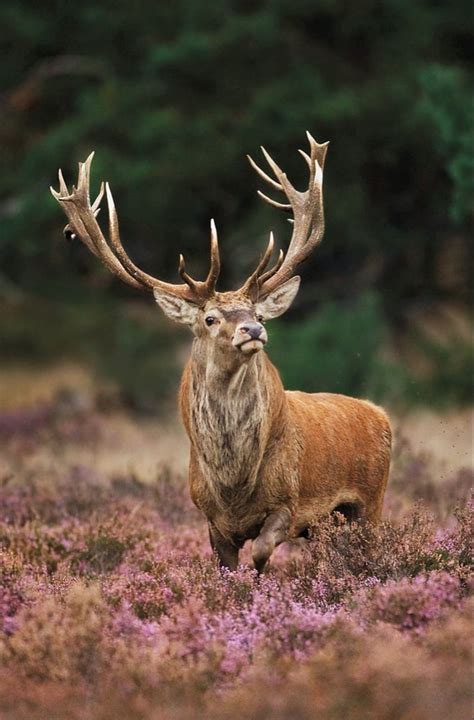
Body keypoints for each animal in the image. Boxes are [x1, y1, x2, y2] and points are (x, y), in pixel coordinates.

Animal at [51, 132, 391, 572]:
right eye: (210, 318)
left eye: (257, 312)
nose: (254, 330)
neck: (233, 486)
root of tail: (379, 414)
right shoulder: (210, 519)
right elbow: (227, 567)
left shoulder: (288, 503)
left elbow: (261, 552)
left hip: (369, 504)